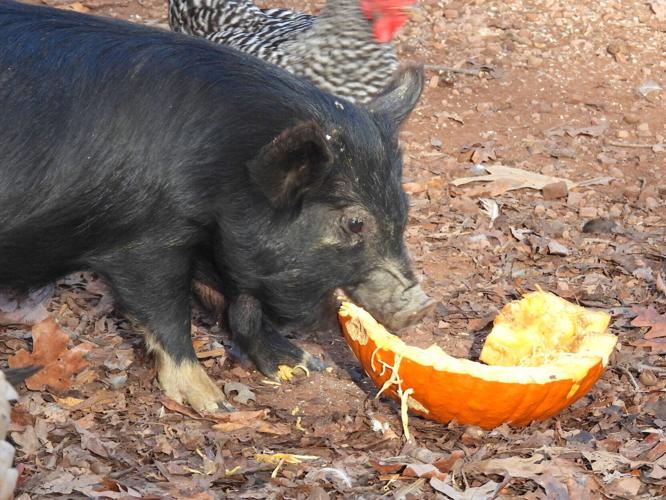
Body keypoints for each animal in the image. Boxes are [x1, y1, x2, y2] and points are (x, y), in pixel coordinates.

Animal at [0, 0, 434, 411]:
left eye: (403, 208)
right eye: (355, 223)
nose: (422, 306)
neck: (222, 173)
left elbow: (235, 298)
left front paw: (302, 366)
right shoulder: (143, 242)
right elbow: (168, 313)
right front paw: (214, 401)